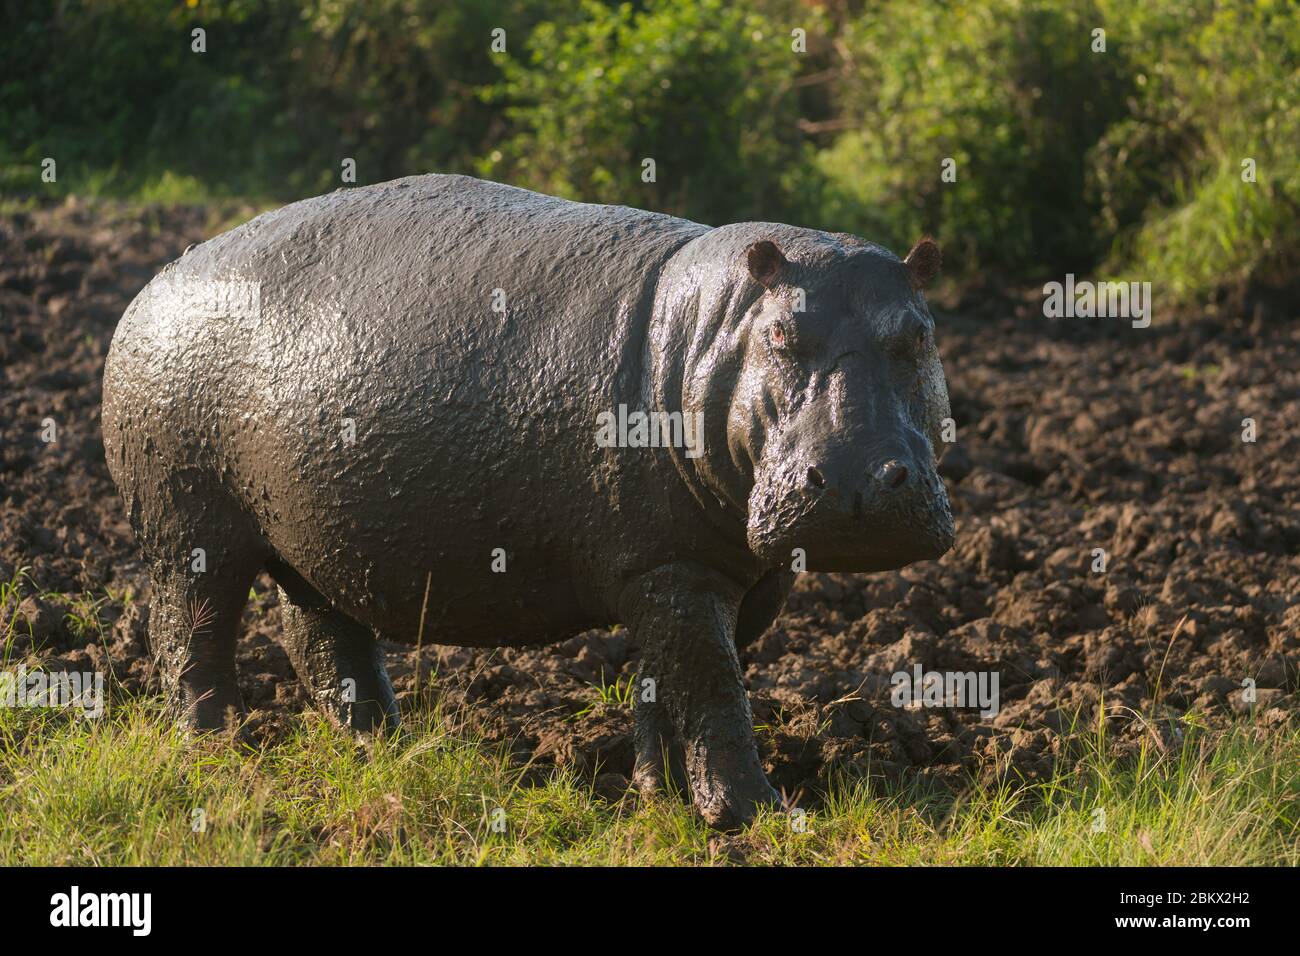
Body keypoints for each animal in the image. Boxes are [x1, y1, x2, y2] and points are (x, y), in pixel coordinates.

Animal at [102, 174, 954, 828]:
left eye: (918, 334)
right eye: (781, 336)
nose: (857, 479)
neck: (716, 331)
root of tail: (158, 280)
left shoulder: (719, 573)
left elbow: (672, 686)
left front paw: (661, 796)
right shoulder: (672, 570)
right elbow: (713, 689)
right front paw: (755, 813)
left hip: (312, 532)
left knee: (321, 636)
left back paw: (387, 749)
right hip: (189, 530)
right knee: (190, 635)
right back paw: (216, 754)